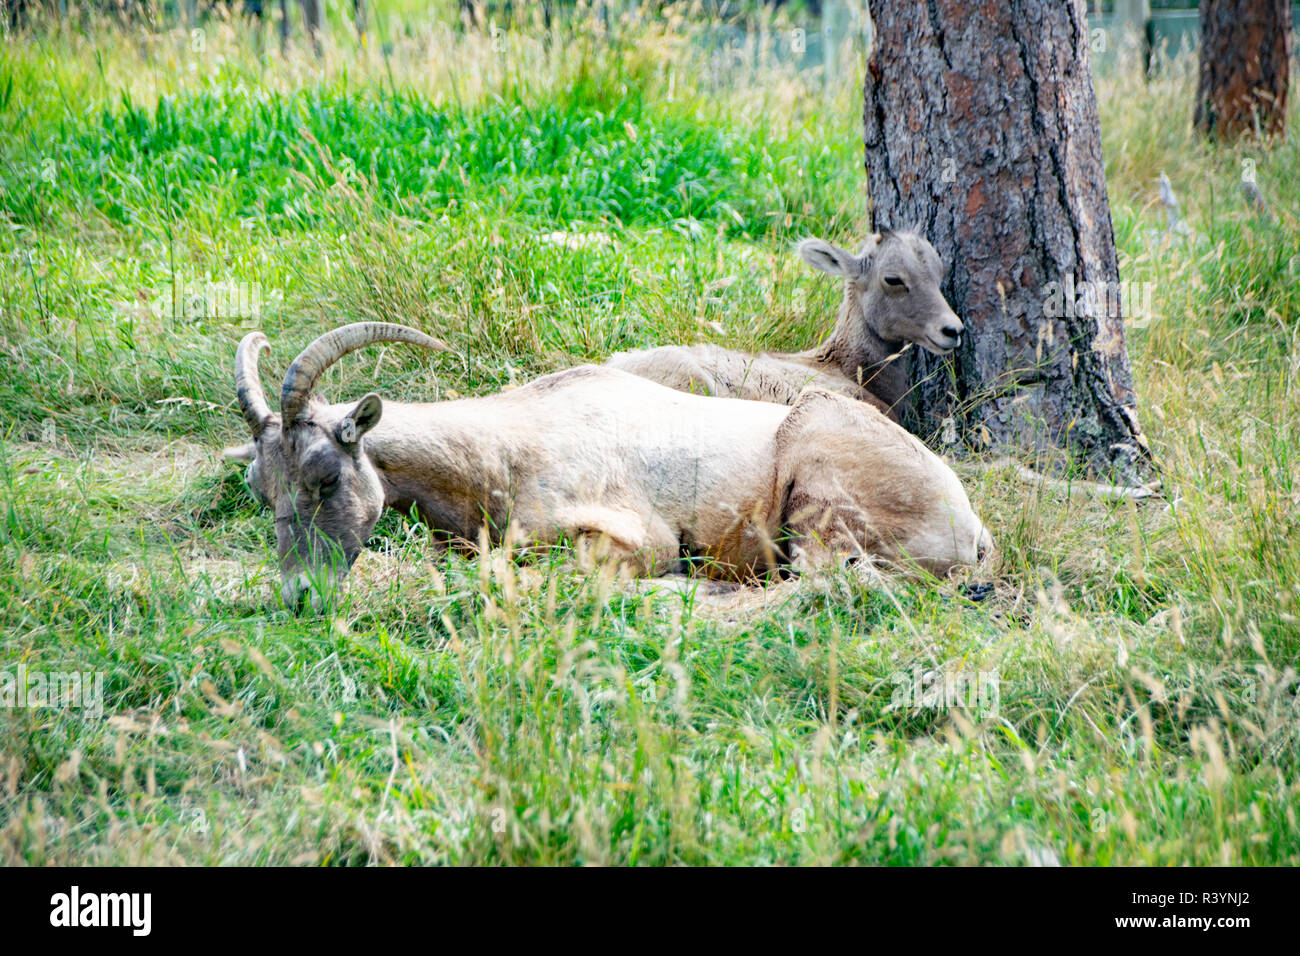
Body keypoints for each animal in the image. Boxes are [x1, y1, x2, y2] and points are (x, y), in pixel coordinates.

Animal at [226, 323, 992, 610]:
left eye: (326, 475)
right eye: (262, 490)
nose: (299, 595)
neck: (507, 445)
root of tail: (974, 532)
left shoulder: (628, 534)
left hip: (817, 462)